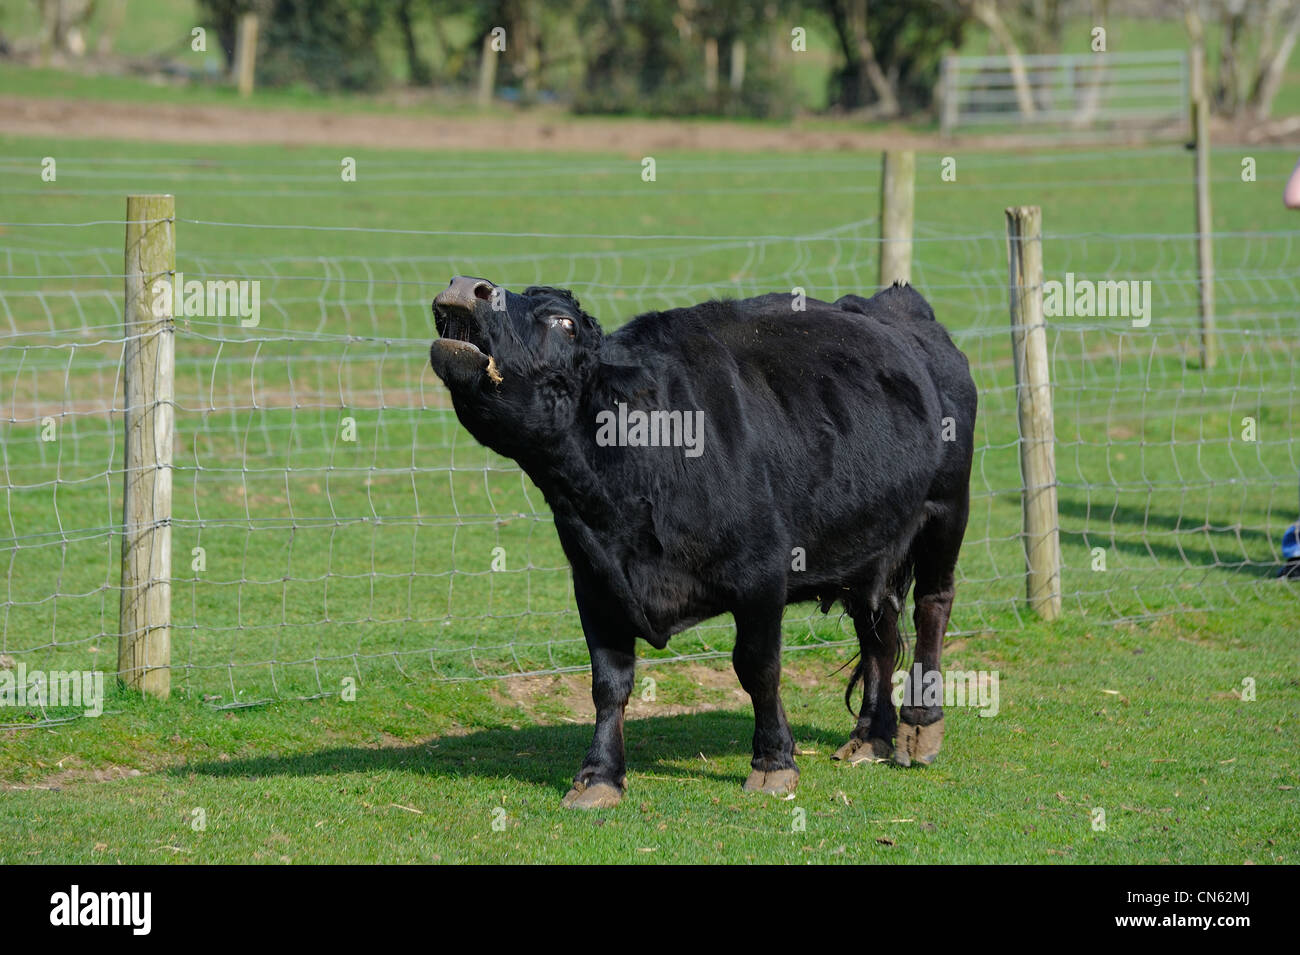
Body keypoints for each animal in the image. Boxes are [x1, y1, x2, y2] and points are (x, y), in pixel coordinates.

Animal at [428, 276, 977, 809]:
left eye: (563, 322)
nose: (468, 285)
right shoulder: (595, 582)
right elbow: (608, 682)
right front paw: (599, 776)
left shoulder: (762, 575)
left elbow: (757, 668)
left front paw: (773, 763)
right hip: (870, 545)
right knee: (877, 628)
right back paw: (870, 737)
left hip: (945, 511)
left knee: (933, 605)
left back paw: (920, 726)